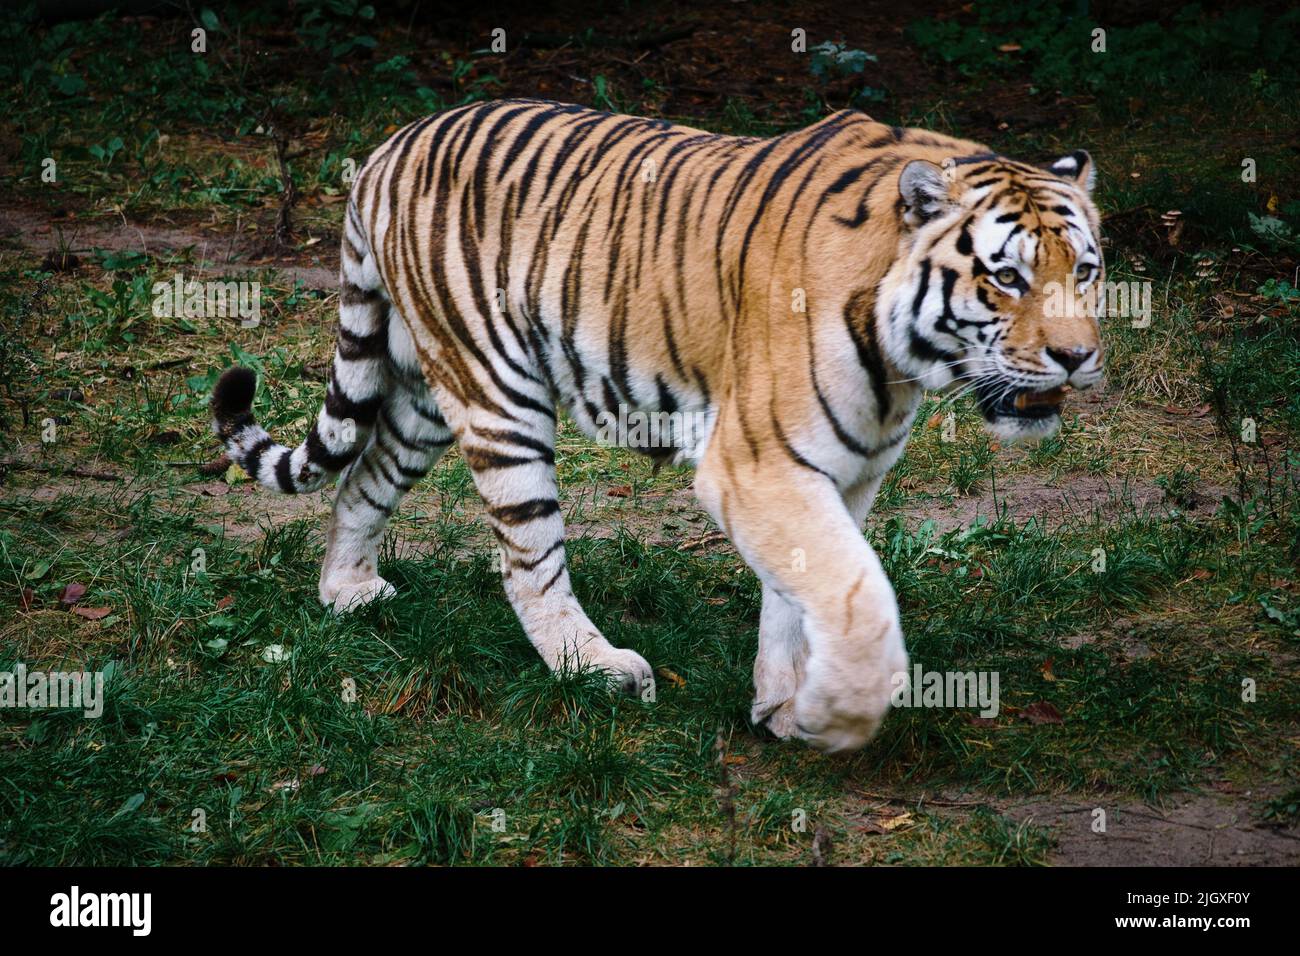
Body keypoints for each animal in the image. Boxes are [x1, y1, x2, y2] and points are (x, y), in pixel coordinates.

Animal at [210, 99, 1104, 752]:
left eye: (1087, 270)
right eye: (1007, 278)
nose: (1078, 356)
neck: (902, 360)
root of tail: (389, 148)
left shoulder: (837, 473)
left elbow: (803, 593)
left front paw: (782, 706)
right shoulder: (759, 462)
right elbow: (857, 598)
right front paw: (835, 717)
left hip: (424, 397)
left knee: (360, 481)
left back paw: (348, 592)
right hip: (498, 392)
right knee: (527, 559)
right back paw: (593, 668)